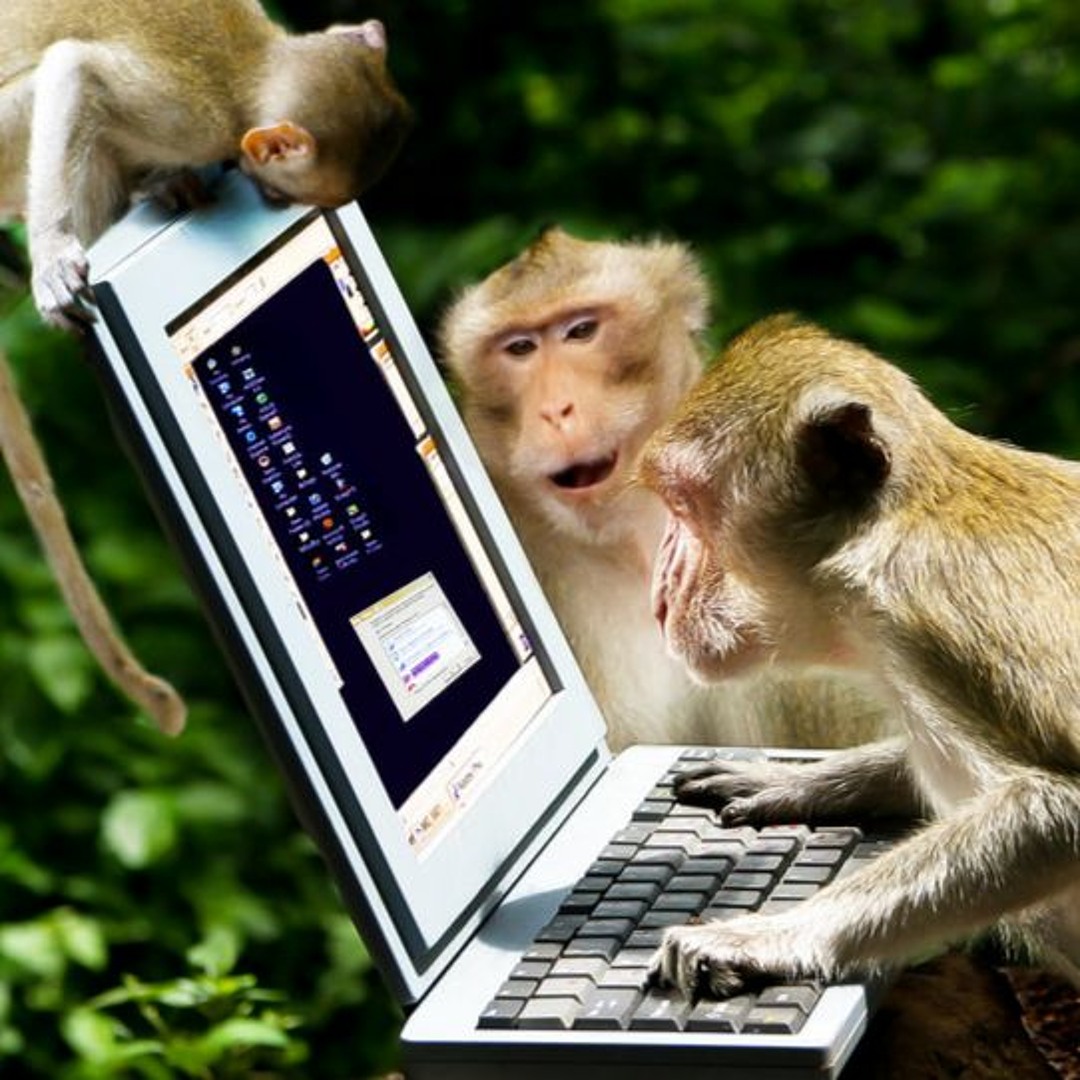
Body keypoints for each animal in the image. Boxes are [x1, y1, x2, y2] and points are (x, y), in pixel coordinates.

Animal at [0, 0, 411, 330]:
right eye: (283, 192)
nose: (279, 203)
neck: (252, 69)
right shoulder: (193, 121)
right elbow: (76, 71)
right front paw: (51, 252)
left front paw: (164, 181)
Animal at [640, 314, 1080, 1000]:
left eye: (683, 505)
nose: (659, 583)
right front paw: (799, 779)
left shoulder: (937, 609)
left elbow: (1061, 807)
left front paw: (767, 935)